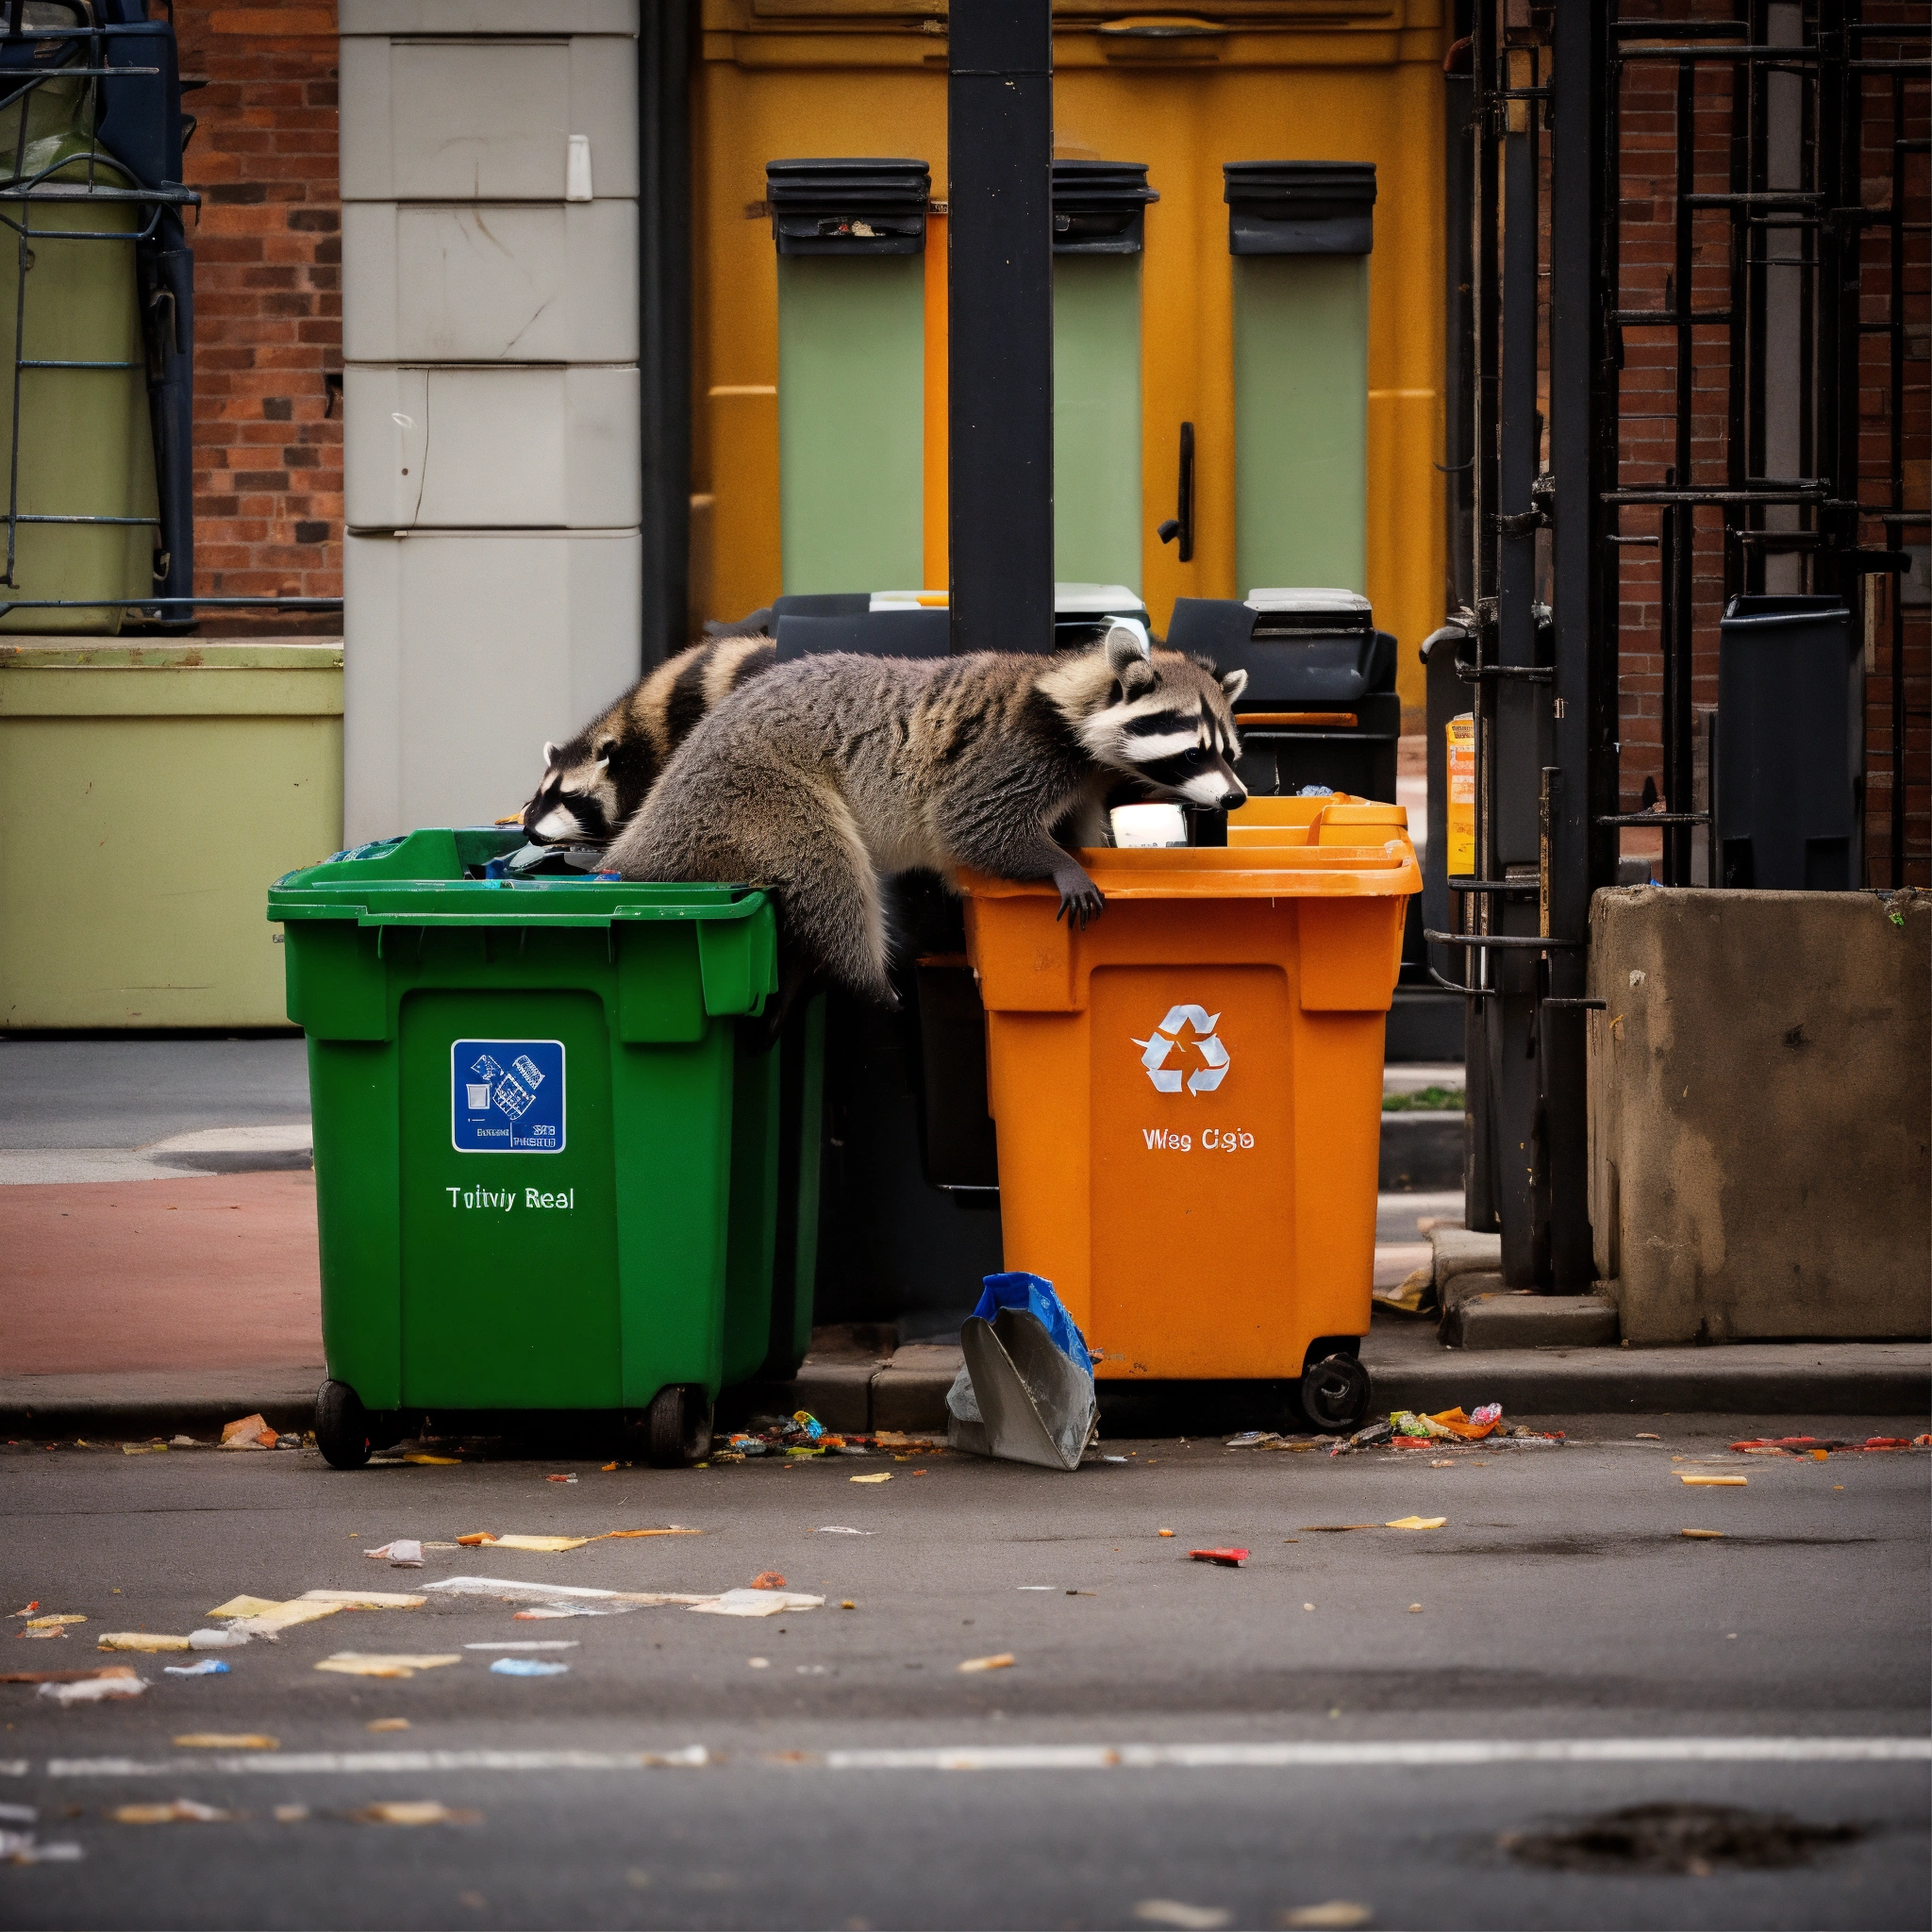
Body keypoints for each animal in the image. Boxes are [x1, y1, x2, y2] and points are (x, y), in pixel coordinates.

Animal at [604, 626, 1248, 1008]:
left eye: (1229, 752)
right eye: (1194, 752)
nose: (1237, 798)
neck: (1071, 696)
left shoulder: (1081, 780)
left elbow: (1078, 829)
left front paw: (1082, 854)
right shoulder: (1014, 751)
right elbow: (975, 827)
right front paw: (1060, 867)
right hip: (754, 791)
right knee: (830, 873)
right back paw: (868, 982)